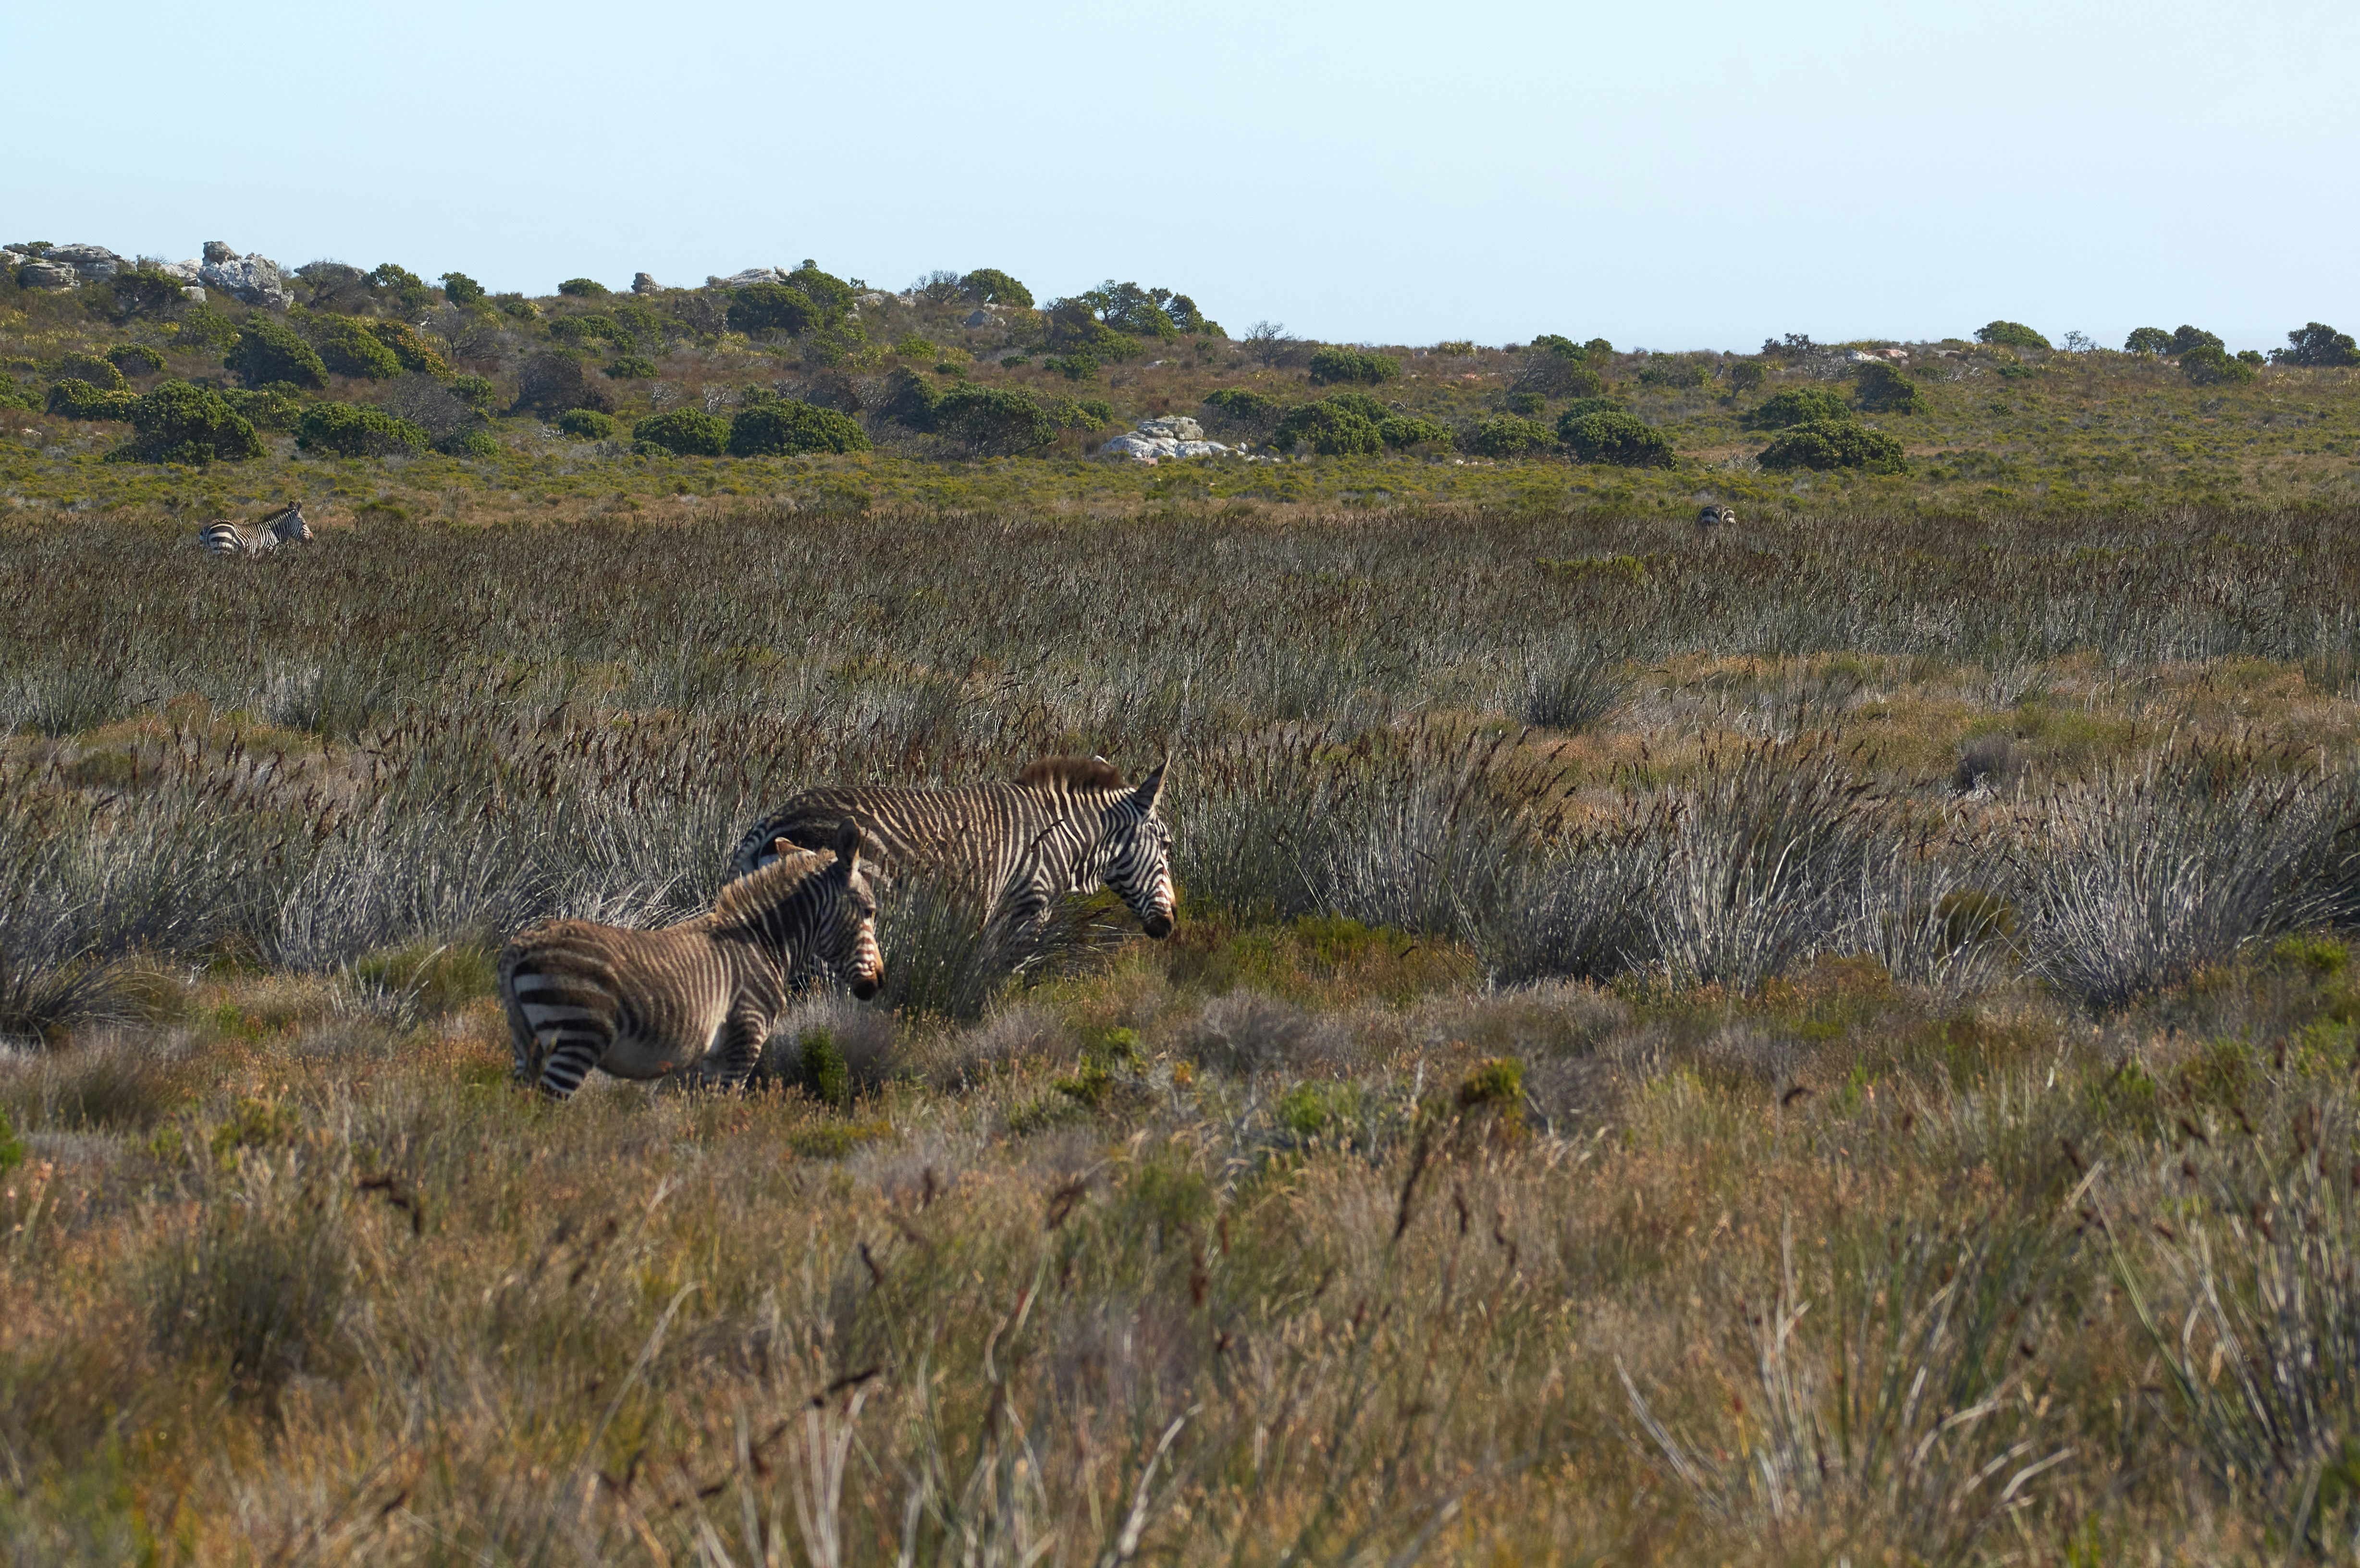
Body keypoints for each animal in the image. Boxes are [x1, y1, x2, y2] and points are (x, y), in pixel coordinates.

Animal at [201, 501, 313, 557]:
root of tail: (210, 525)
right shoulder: (269, 550)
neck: (274, 532)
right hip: (222, 549)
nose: (313, 540)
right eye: (304, 523)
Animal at [498, 819, 883, 1100]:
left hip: (526, 1043)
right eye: (870, 912)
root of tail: (523, 944)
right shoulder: (745, 1042)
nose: (877, 983)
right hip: (577, 1037)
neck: (764, 943)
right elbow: (724, 1120)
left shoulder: (713, 1061)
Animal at [725, 756, 1177, 954]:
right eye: (1168, 845)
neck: (1060, 837)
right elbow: (1004, 978)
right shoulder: (1026, 909)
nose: (1171, 922)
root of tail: (771, 820)